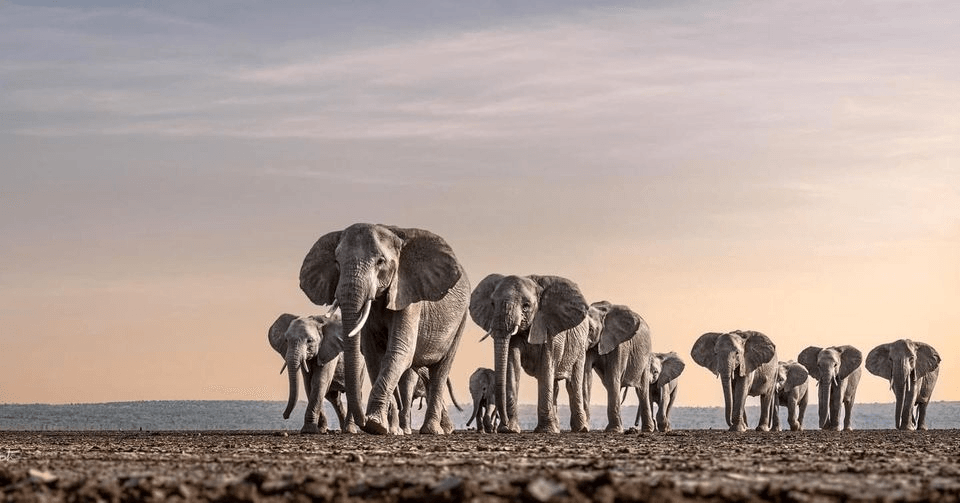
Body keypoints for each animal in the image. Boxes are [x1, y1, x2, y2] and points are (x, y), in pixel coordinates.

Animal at [299, 223, 470, 435]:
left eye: (380, 261)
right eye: (337, 262)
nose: (362, 421)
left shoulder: (408, 294)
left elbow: (400, 350)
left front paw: (374, 424)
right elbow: (373, 356)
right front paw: (385, 428)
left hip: (461, 319)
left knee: (441, 370)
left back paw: (431, 430)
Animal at [469, 274, 591, 433]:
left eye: (526, 306)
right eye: (492, 303)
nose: (504, 422)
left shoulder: (551, 328)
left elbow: (546, 366)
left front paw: (546, 431)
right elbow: (511, 365)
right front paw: (510, 430)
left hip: (580, 347)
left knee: (573, 383)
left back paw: (580, 429)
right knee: (555, 385)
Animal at [582, 301, 654, 433]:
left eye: (590, 329)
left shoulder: (620, 344)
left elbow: (612, 377)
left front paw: (614, 430)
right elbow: (586, 378)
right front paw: (584, 428)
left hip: (646, 357)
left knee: (642, 390)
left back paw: (647, 430)